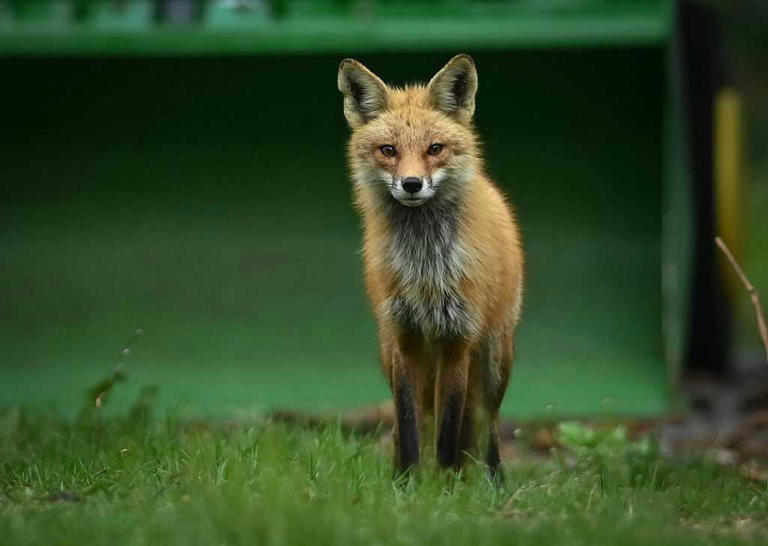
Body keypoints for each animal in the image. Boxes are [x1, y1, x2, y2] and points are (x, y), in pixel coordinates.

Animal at [337, 54, 524, 480]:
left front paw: (445, 486)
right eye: (388, 150)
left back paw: (493, 482)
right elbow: (409, 428)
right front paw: (406, 484)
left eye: (434, 148)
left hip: (494, 360)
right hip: (390, 353)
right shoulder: (404, 340)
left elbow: (449, 433)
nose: (411, 183)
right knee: (410, 419)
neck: (425, 271)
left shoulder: (457, 340)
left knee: (488, 425)